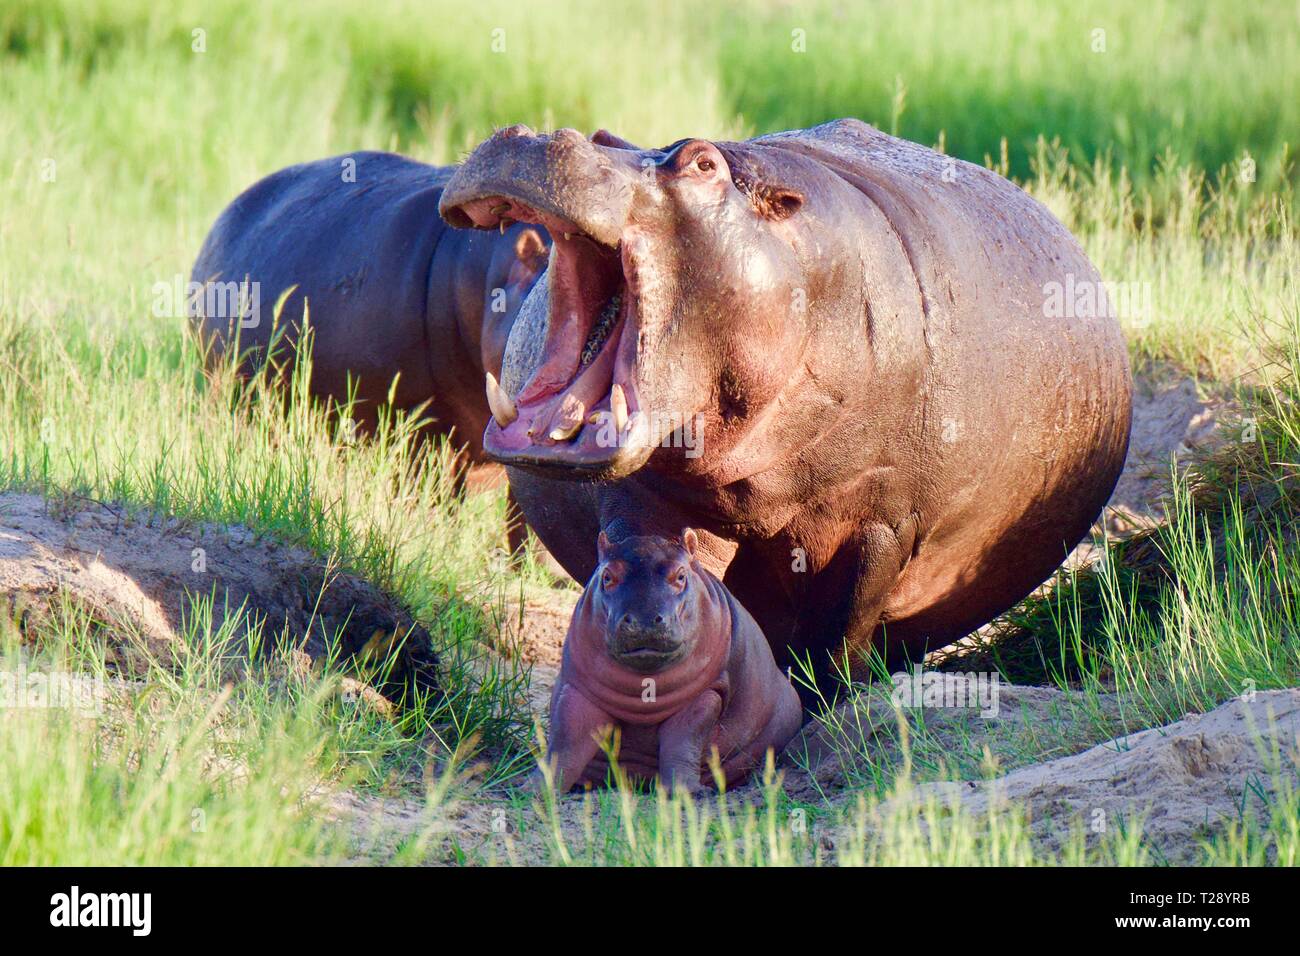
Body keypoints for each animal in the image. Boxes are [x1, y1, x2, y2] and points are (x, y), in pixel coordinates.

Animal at [439, 119, 1133, 700]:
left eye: (703, 164)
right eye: (607, 137)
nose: (535, 136)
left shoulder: (879, 521)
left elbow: (840, 630)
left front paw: (826, 707)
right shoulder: (648, 503)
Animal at [536, 529, 802, 793]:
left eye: (681, 575)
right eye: (607, 576)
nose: (643, 620)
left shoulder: (706, 694)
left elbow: (683, 742)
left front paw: (688, 793)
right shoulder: (578, 689)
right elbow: (567, 740)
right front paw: (537, 788)